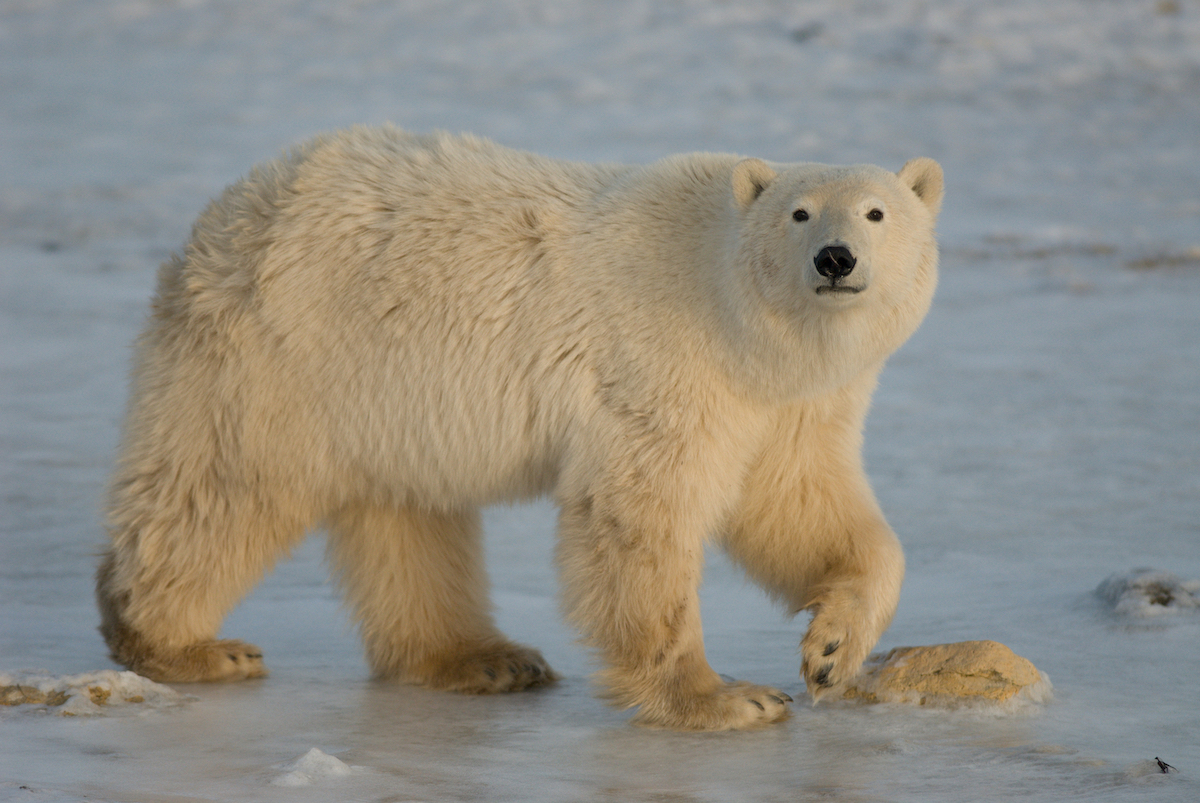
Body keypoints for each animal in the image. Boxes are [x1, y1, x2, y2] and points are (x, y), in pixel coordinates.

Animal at [96, 126, 943, 731]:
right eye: (800, 212)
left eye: (877, 212)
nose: (835, 259)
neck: (743, 324)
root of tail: (232, 210)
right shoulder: (665, 360)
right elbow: (641, 517)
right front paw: (726, 697)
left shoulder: (789, 404)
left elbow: (799, 505)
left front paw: (833, 648)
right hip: (281, 356)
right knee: (222, 489)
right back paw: (183, 643)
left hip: (385, 397)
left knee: (407, 517)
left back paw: (485, 658)